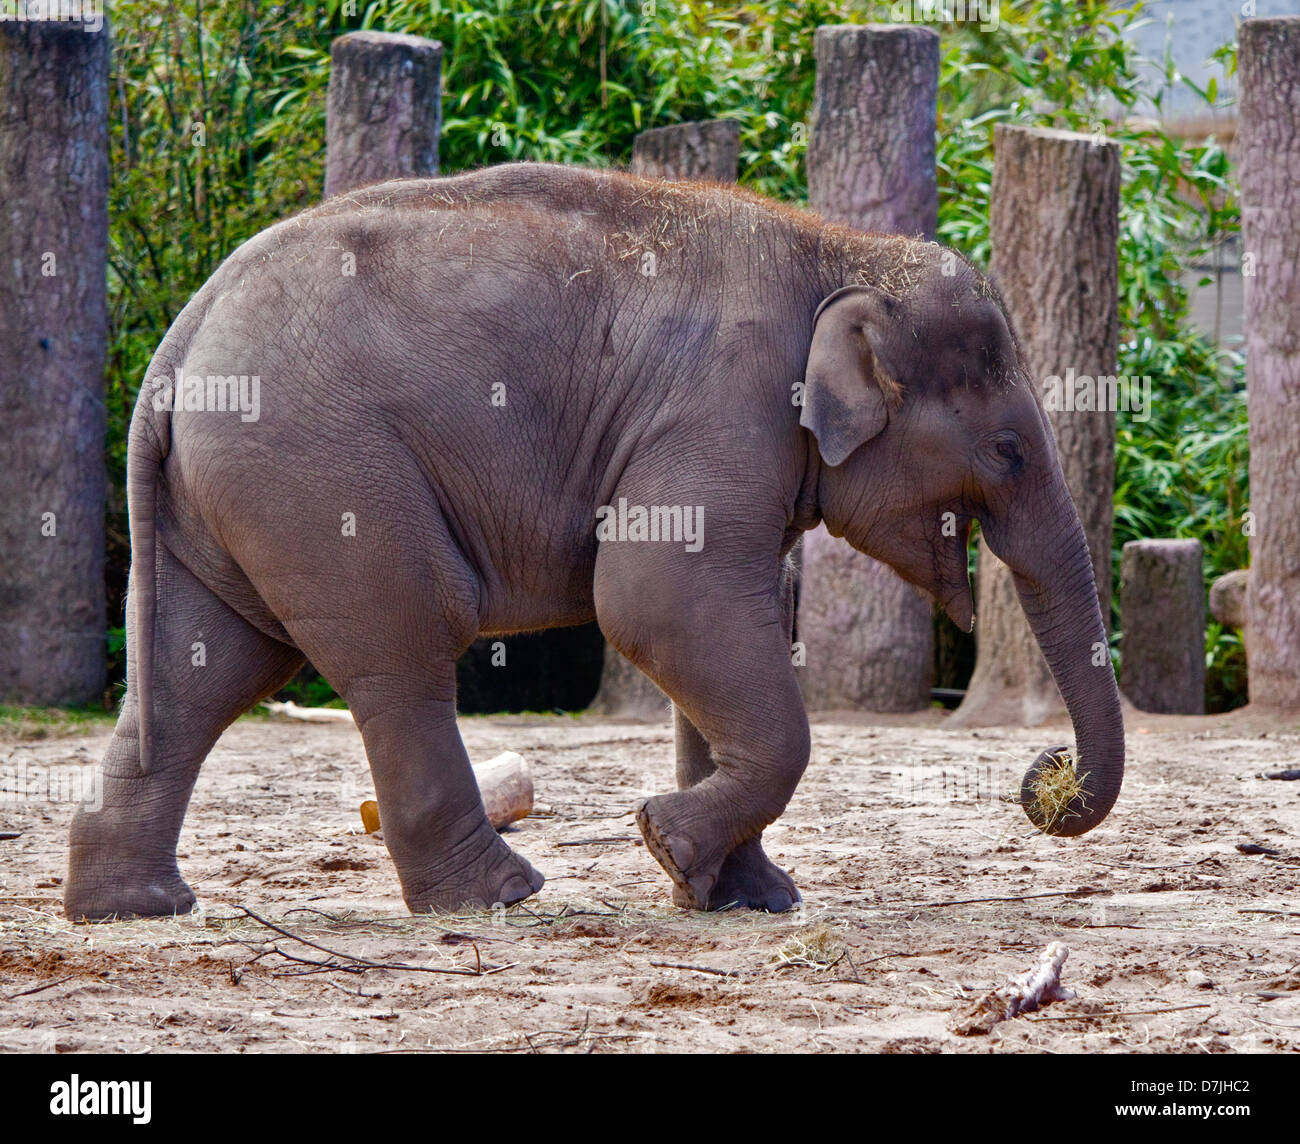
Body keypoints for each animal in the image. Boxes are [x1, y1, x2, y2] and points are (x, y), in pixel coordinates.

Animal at [65, 162, 1124, 920]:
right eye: (1009, 450)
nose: (1047, 775)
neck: (839, 252)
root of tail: (175, 346)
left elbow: (723, 616)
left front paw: (737, 894)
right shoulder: (722, 409)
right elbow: (657, 599)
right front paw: (668, 845)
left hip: (235, 494)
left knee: (205, 668)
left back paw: (133, 907)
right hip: (321, 470)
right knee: (399, 650)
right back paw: (502, 895)